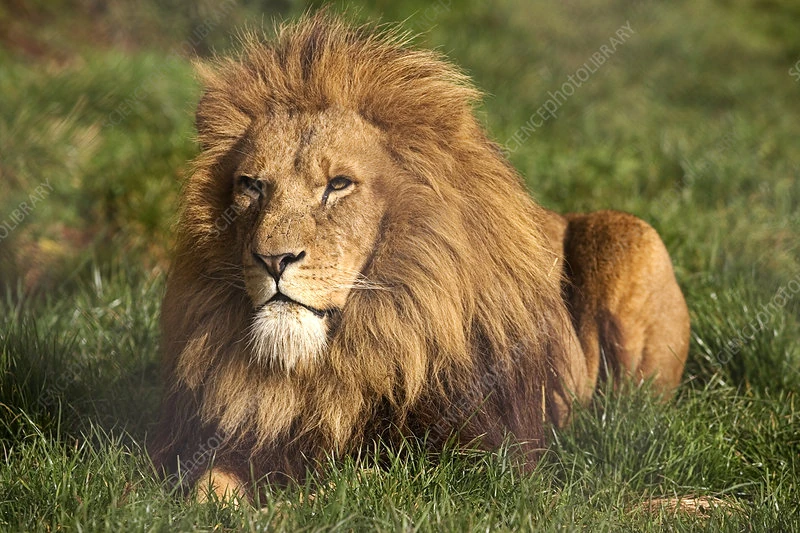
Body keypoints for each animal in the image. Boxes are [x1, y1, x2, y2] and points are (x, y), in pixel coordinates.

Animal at [150, 13, 690, 502]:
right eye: (252, 185)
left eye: (338, 184)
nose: (273, 259)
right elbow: (207, 488)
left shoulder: (465, 463)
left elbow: (339, 487)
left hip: (634, 238)